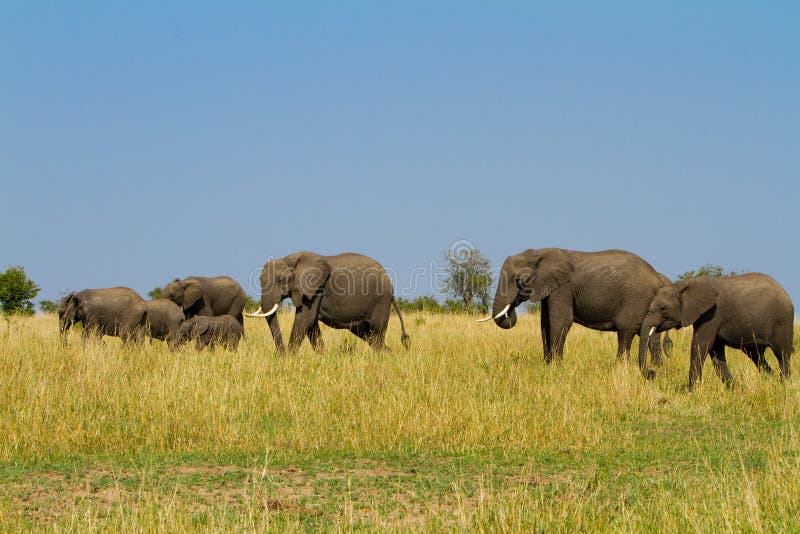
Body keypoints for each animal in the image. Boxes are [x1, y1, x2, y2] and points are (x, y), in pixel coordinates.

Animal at [246, 251, 410, 352]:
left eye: (281, 280)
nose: (281, 353)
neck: (290, 259)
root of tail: (391, 286)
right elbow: (311, 324)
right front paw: (322, 356)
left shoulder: (316, 288)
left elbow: (305, 319)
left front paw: (290, 358)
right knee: (368, 335)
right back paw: (387, 352)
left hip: (380, 300)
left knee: (377, 332)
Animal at [480, 248, 671, 364]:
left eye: (519, 280)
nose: (510, 309)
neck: (539, 252)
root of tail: (657, 277)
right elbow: (545, 323)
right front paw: (547, 364)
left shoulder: (563, 287)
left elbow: (560, 321)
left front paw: (556, 366)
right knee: (649, 334)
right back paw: (657, 367)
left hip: (635, 298)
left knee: (625, 331)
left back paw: (620, 367)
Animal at [638, 273, 794, 390]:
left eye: (663, 308)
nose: (653, 373)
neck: (684, 285)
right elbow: (715, 351)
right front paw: (735, 390)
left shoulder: (713, 313)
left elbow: (701, 344)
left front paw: (692, 392)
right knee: (757, 356)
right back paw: (771, 381)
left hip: (783, 321)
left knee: (782, 354)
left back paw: (784, 385)